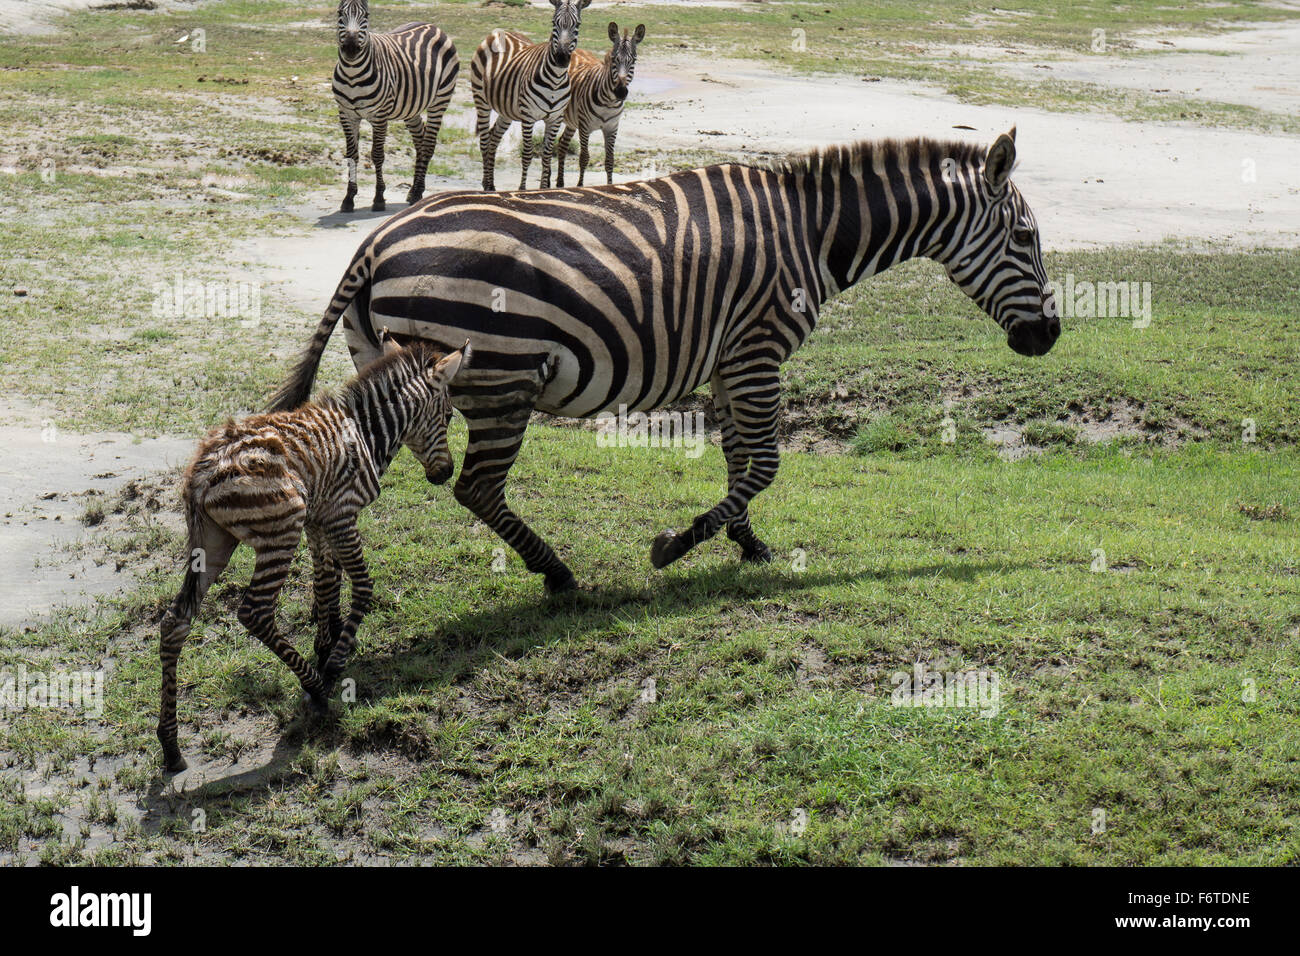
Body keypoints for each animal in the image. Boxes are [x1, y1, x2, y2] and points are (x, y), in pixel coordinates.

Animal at [157, 334, 470, 772]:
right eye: (450, 416)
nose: (444, 475)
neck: (366, 431)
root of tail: (201, 471)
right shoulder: (340, 514)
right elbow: (362, 587)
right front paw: (334, 663)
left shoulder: (319, 521)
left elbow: (325, 581)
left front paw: (324, 646)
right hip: (280, 530)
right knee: (254, 612)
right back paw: (316, 689)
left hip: (213, 543)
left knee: (176, 621)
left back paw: (170, 745)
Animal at [267, 130, 1059, 595]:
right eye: (1025, 238)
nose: (1049, 337)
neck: (811, 232)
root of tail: (376, 239)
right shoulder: (759, 348)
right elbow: (767, 463)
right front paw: (676, 545)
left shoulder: (731, 358)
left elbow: (741, 459)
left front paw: (747, 542)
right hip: (500, 379)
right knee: (478, 488)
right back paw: (558, 574)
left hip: (397, 384)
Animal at [334, 0, 459, 213]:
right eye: (340, 13)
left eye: (366, 15)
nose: (350, 49)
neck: (352, 75)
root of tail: (433, 26)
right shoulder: (347, 115)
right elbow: (352, 155)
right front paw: (349, 198)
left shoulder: (380, 116)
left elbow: (377, 155)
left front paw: (379, 198)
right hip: (411, 108)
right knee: (420, 140)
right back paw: (415, 190)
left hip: (440, 100)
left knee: (428, 144)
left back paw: (417, 193)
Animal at [470, 0, 592, 191]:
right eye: (554, 23)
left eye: (577, 25)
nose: (561, 58)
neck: (555, 80)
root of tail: (499, 32)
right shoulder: (528, 116)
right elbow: (527, 153)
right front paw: (522, 188)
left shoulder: (555, 118)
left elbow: (547, 154)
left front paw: (543, 187)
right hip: (481, 100)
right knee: (484, 141)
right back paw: (486, 186)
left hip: (507, 110)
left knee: (492, 138)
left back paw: (490, 183)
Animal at [556, 22, 645, 189]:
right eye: (614, 59)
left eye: (633, 61)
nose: (621, 92)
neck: (608, 103)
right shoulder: (585, 127)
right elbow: (584, 157)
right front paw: (580, 185)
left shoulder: (612, 127)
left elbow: (610, 160)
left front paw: (610, 185)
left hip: (572, 121)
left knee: (563, 143)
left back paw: (559, 182)